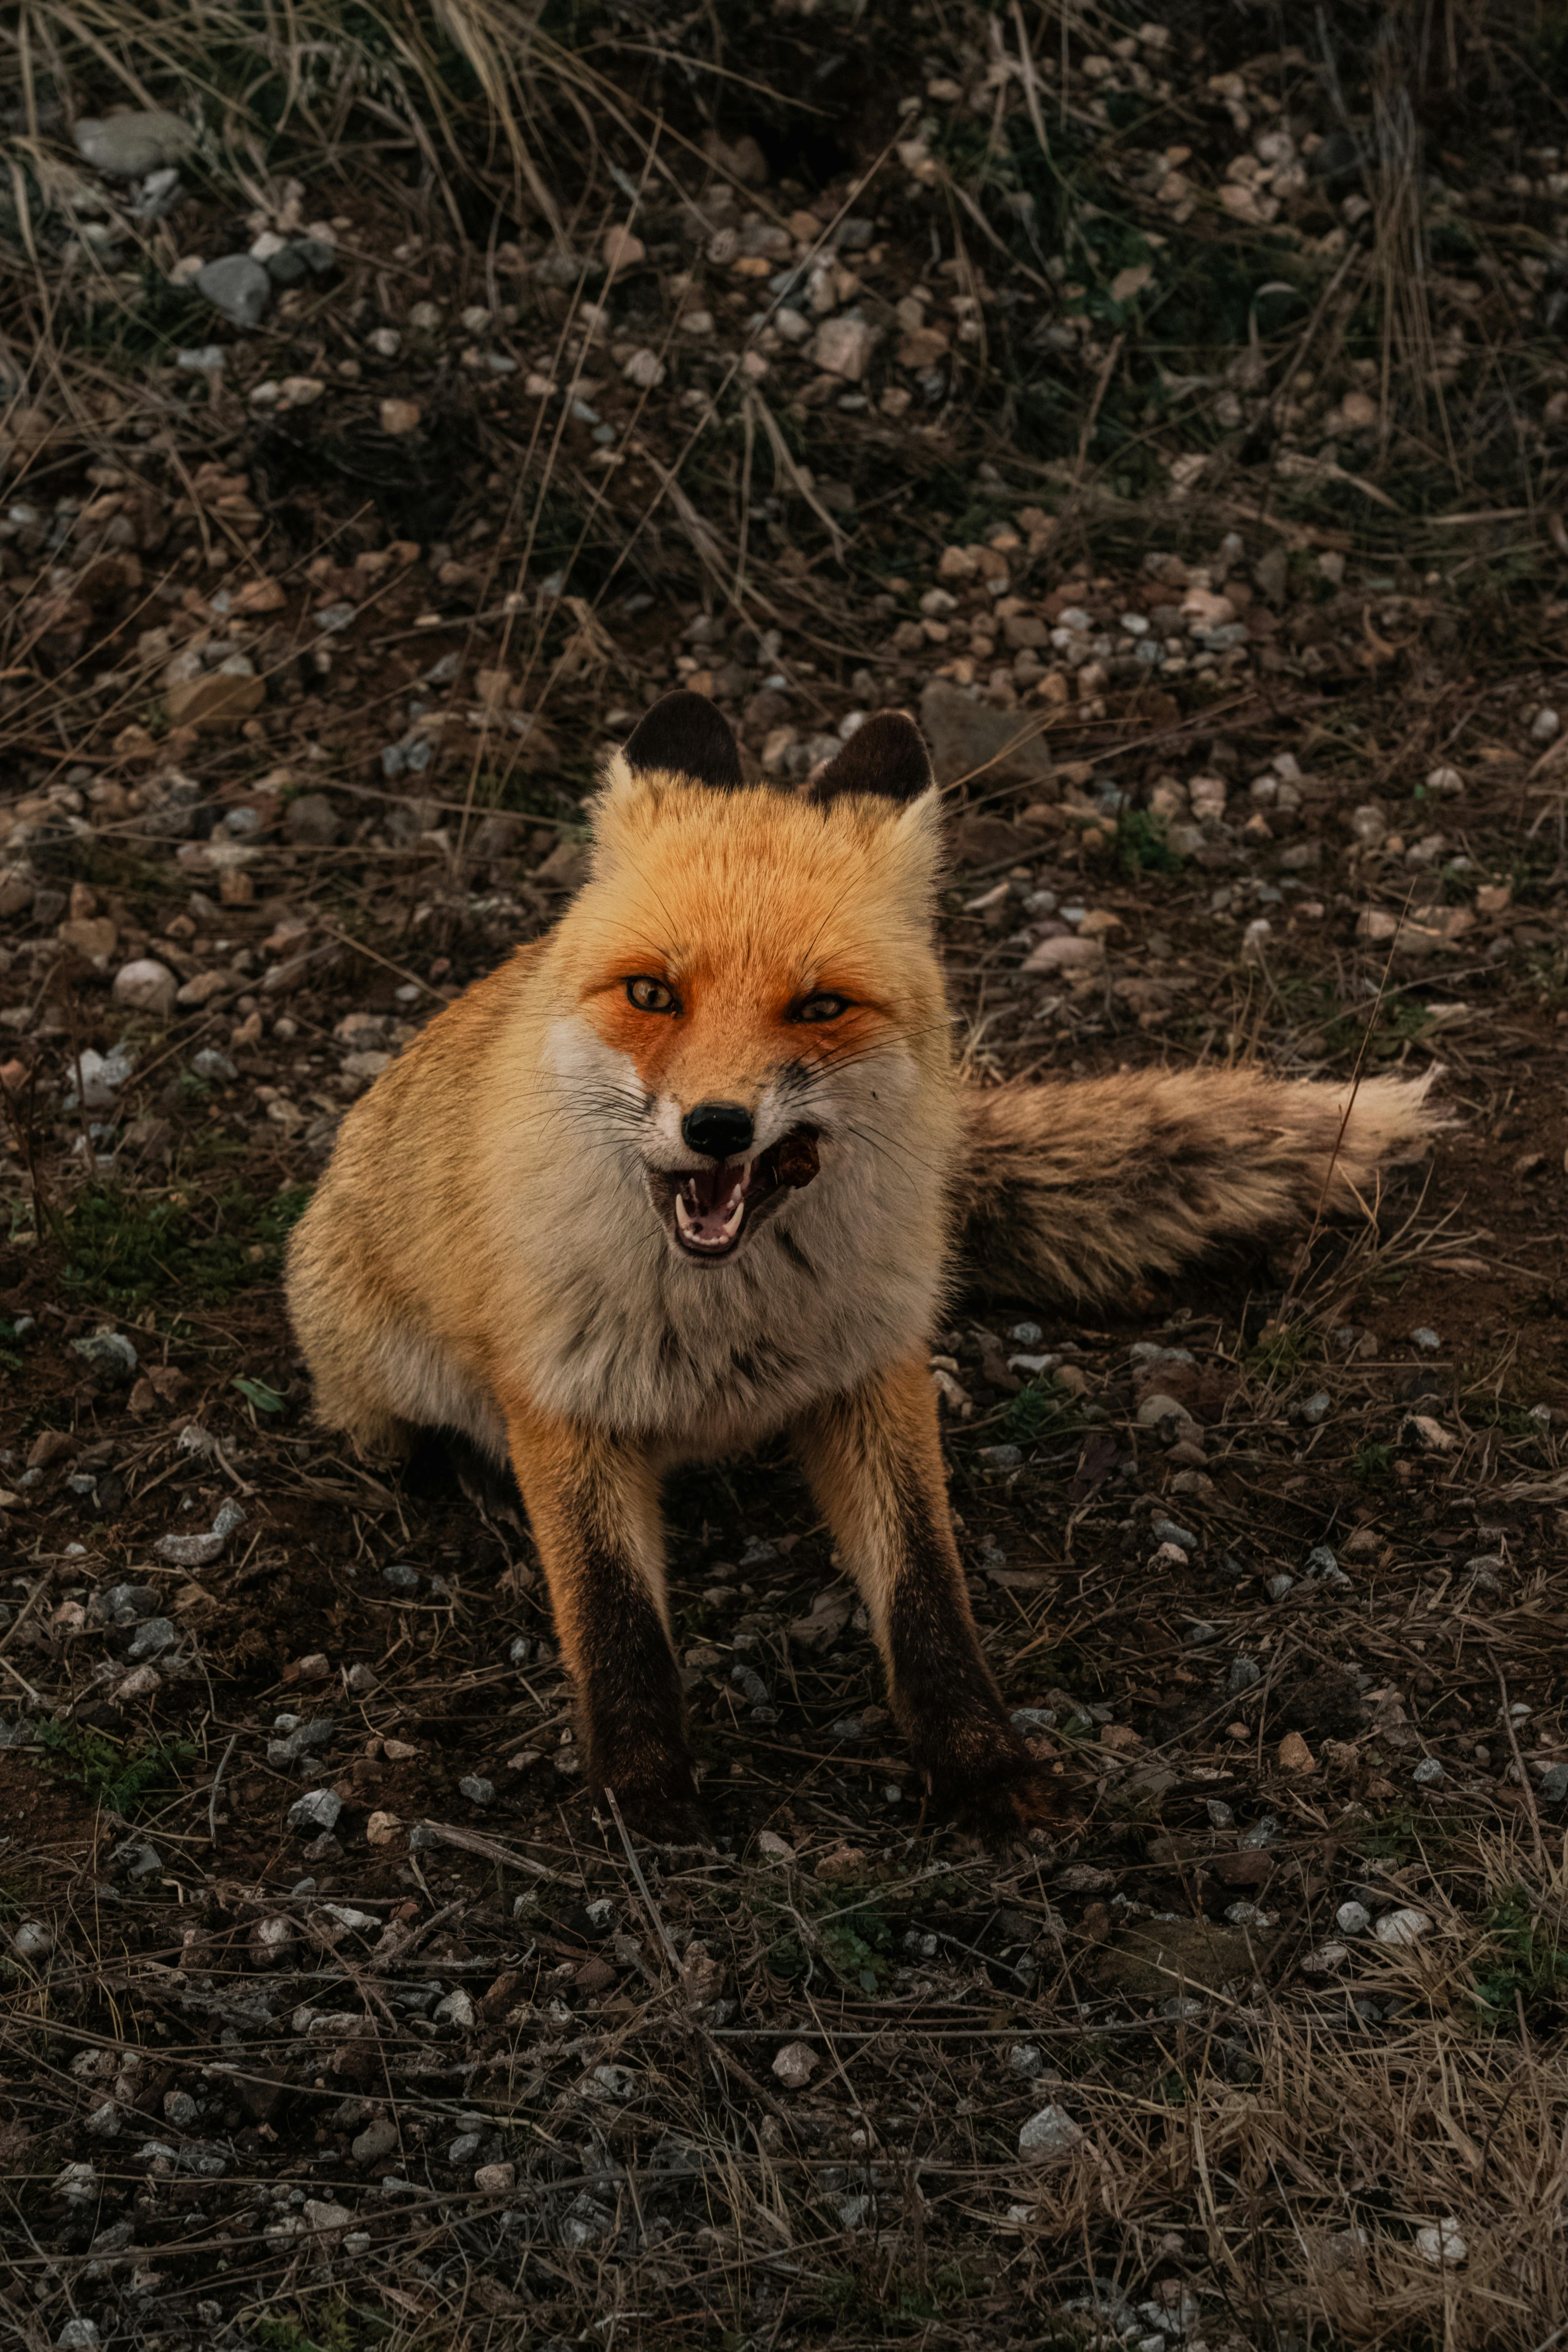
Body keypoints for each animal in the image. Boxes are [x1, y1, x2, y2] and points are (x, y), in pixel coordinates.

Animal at [285, 691, 1436, 1841]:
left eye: (819, 1006)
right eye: (652, 993)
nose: (715, 1125)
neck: (727, 1317)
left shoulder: (875, 1374)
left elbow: (928, 1591)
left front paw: (979, 1763)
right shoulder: (565, 1404)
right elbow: (612, 1619)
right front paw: (646, 1796)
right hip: (370, 1351)